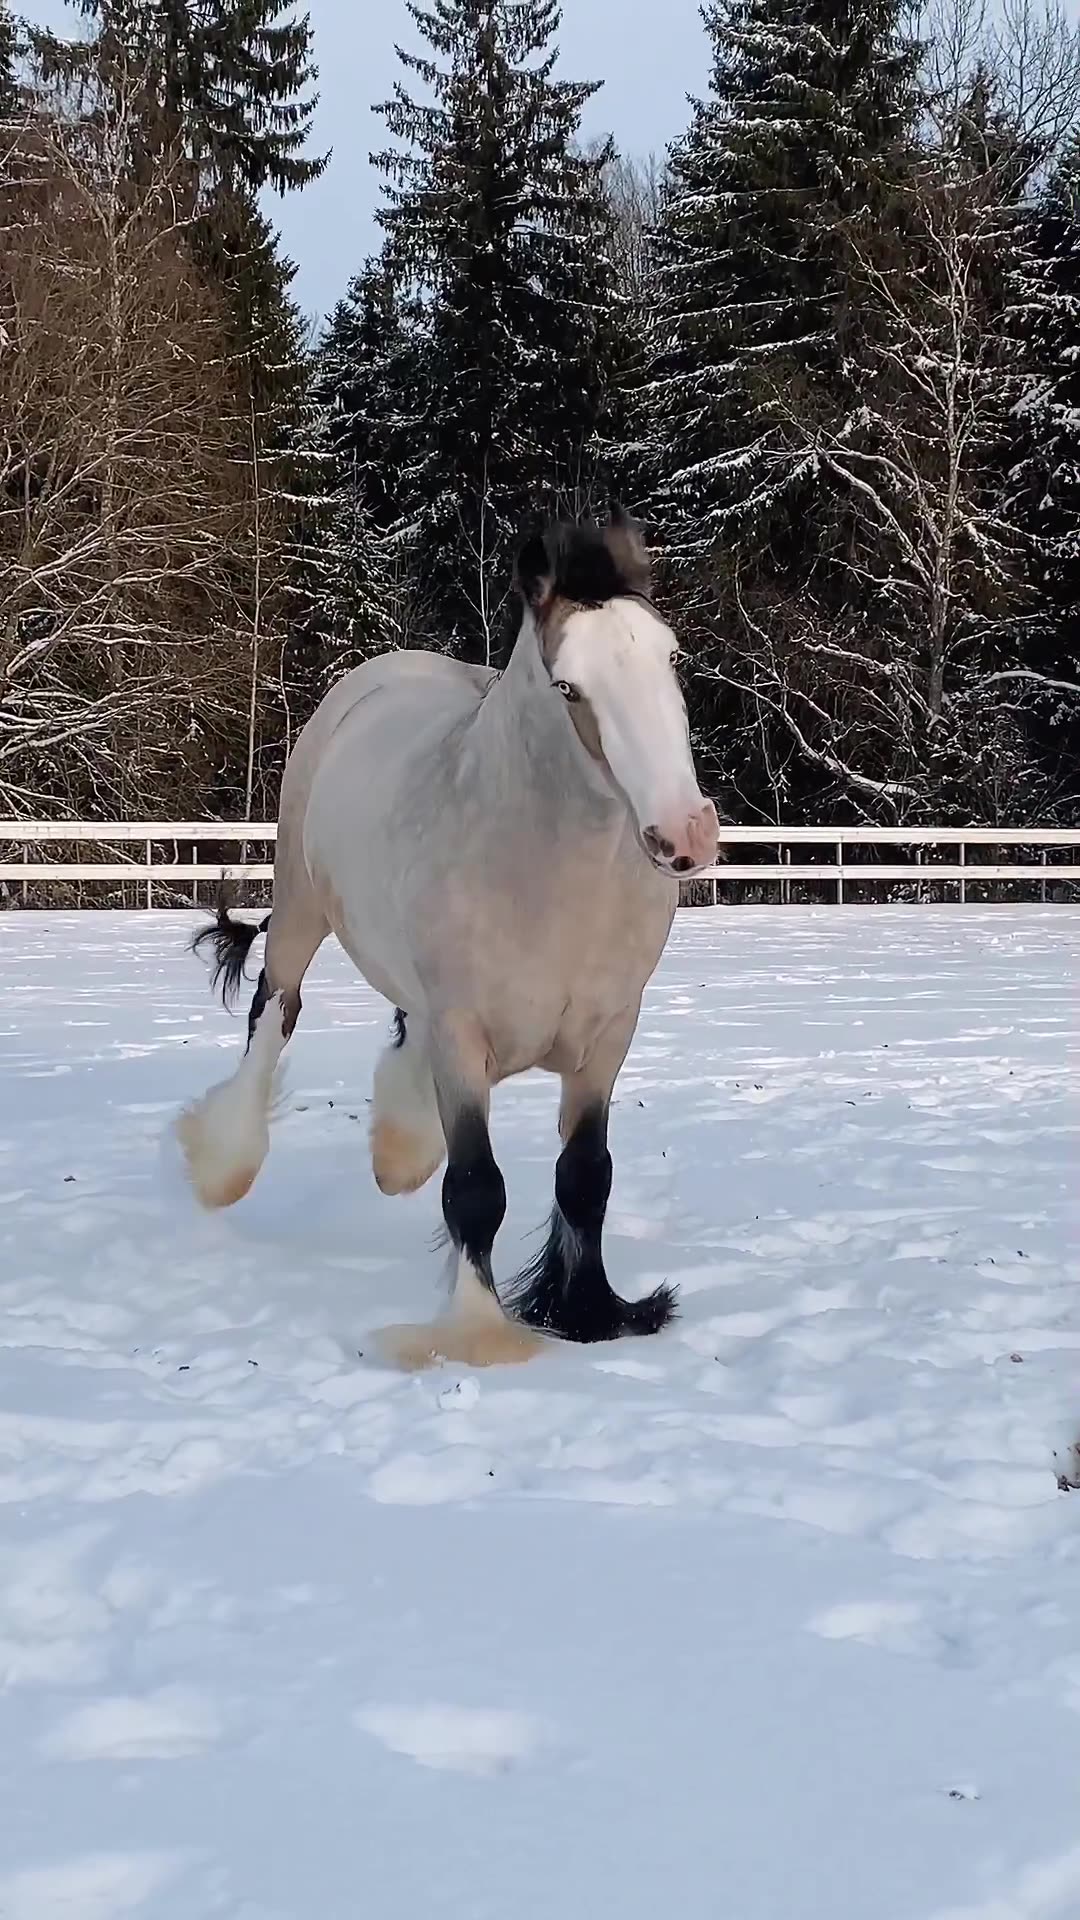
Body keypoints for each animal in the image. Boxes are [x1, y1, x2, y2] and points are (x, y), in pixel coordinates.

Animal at [176, 508, 719, 1368]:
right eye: (569, 686)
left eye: (672, 658)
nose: (684, 835)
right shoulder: (462, 1038)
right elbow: (475, 1189)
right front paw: (479, 1335)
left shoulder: (608, 1037)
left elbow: (584, 1177)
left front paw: (588, 1312)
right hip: (300, 908)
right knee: (275, 1010)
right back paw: (224, 1166)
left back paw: (397, 1151)